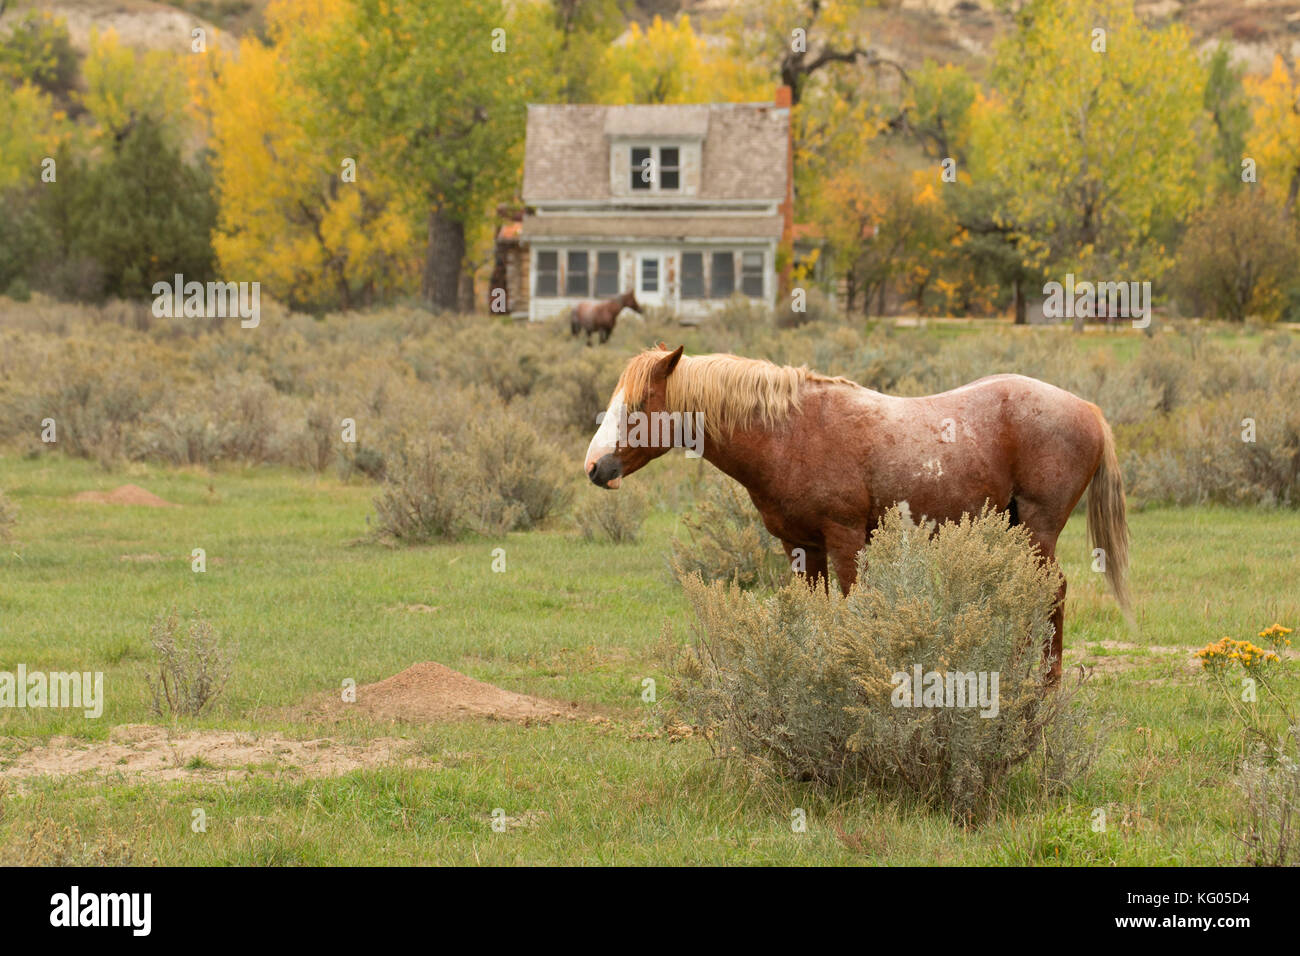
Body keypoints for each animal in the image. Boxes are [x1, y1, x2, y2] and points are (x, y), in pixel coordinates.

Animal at [583, 344, 1131, 681]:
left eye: (639, 404)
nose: (594, 466)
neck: (791, 433)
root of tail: (1088, 410)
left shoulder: (844, 539)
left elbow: (848, 609)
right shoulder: (801, 546)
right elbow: (811, 612)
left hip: (1040, 529)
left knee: (1051, 590)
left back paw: (1040, 680)